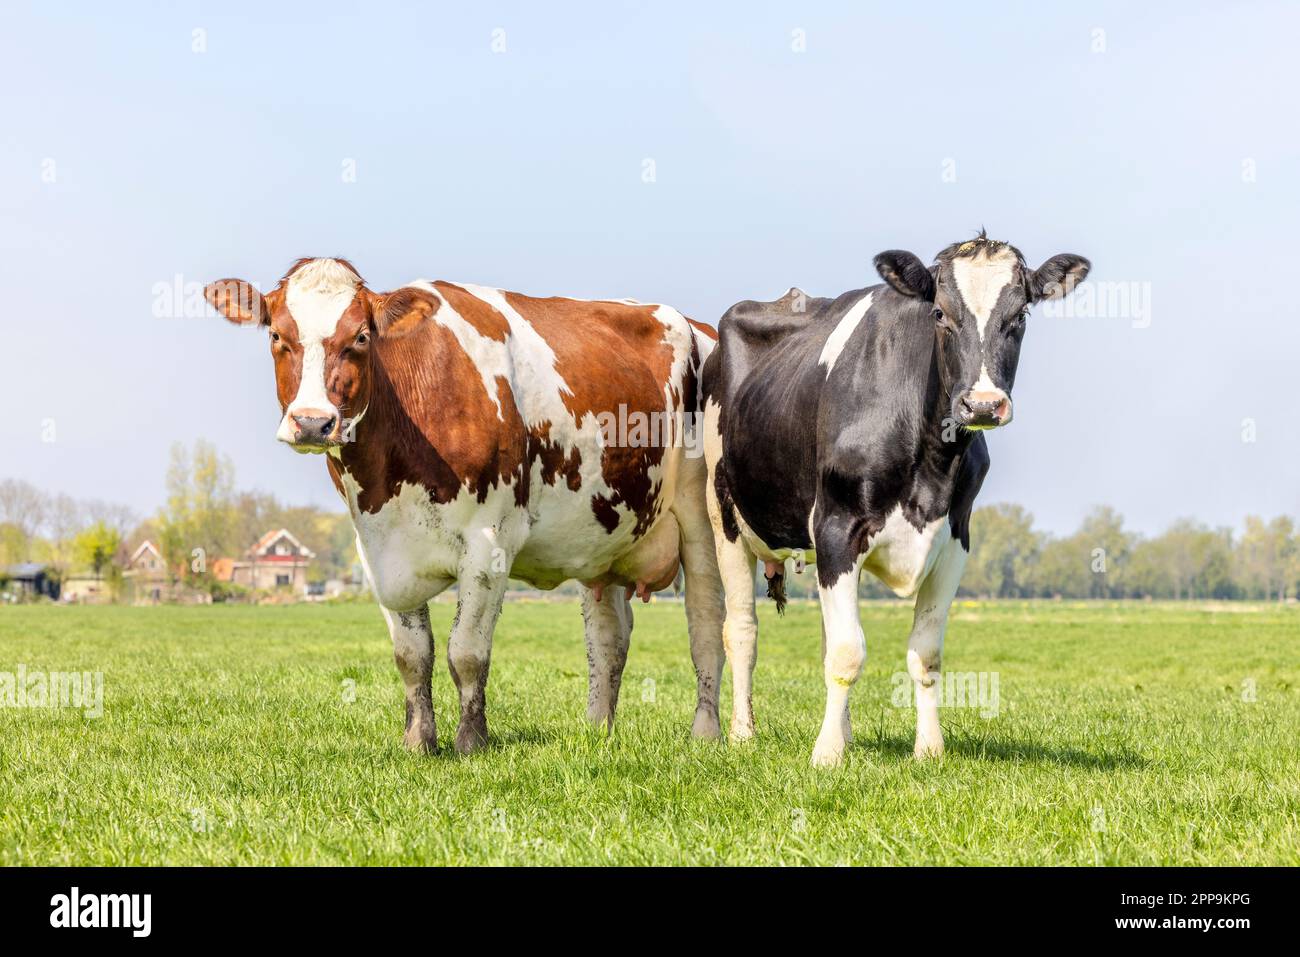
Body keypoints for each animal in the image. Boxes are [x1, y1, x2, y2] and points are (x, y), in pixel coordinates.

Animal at [205, 258, 725, 753]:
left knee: (706, 629)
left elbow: (467, 651)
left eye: (361, 336)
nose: (313, 422)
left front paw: (471, 740)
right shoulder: (377, 550)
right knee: (608, 640)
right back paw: (597, 731)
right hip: (605, 537)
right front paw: (419, 741)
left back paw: (708, 732)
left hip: (704, 525)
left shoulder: (489, 542)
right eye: (277, 335)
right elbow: (412, 655)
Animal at [702, 233, 1090, 766]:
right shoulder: (837, 527)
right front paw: (826, 756)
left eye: (1021, 315)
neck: (930, 463)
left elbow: (923, 654)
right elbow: (848, 652)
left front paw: (928, 748)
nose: (983, 405)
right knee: (741, 631)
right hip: (725, 516)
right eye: (940, 313)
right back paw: (743, 733)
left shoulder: (954, 540)